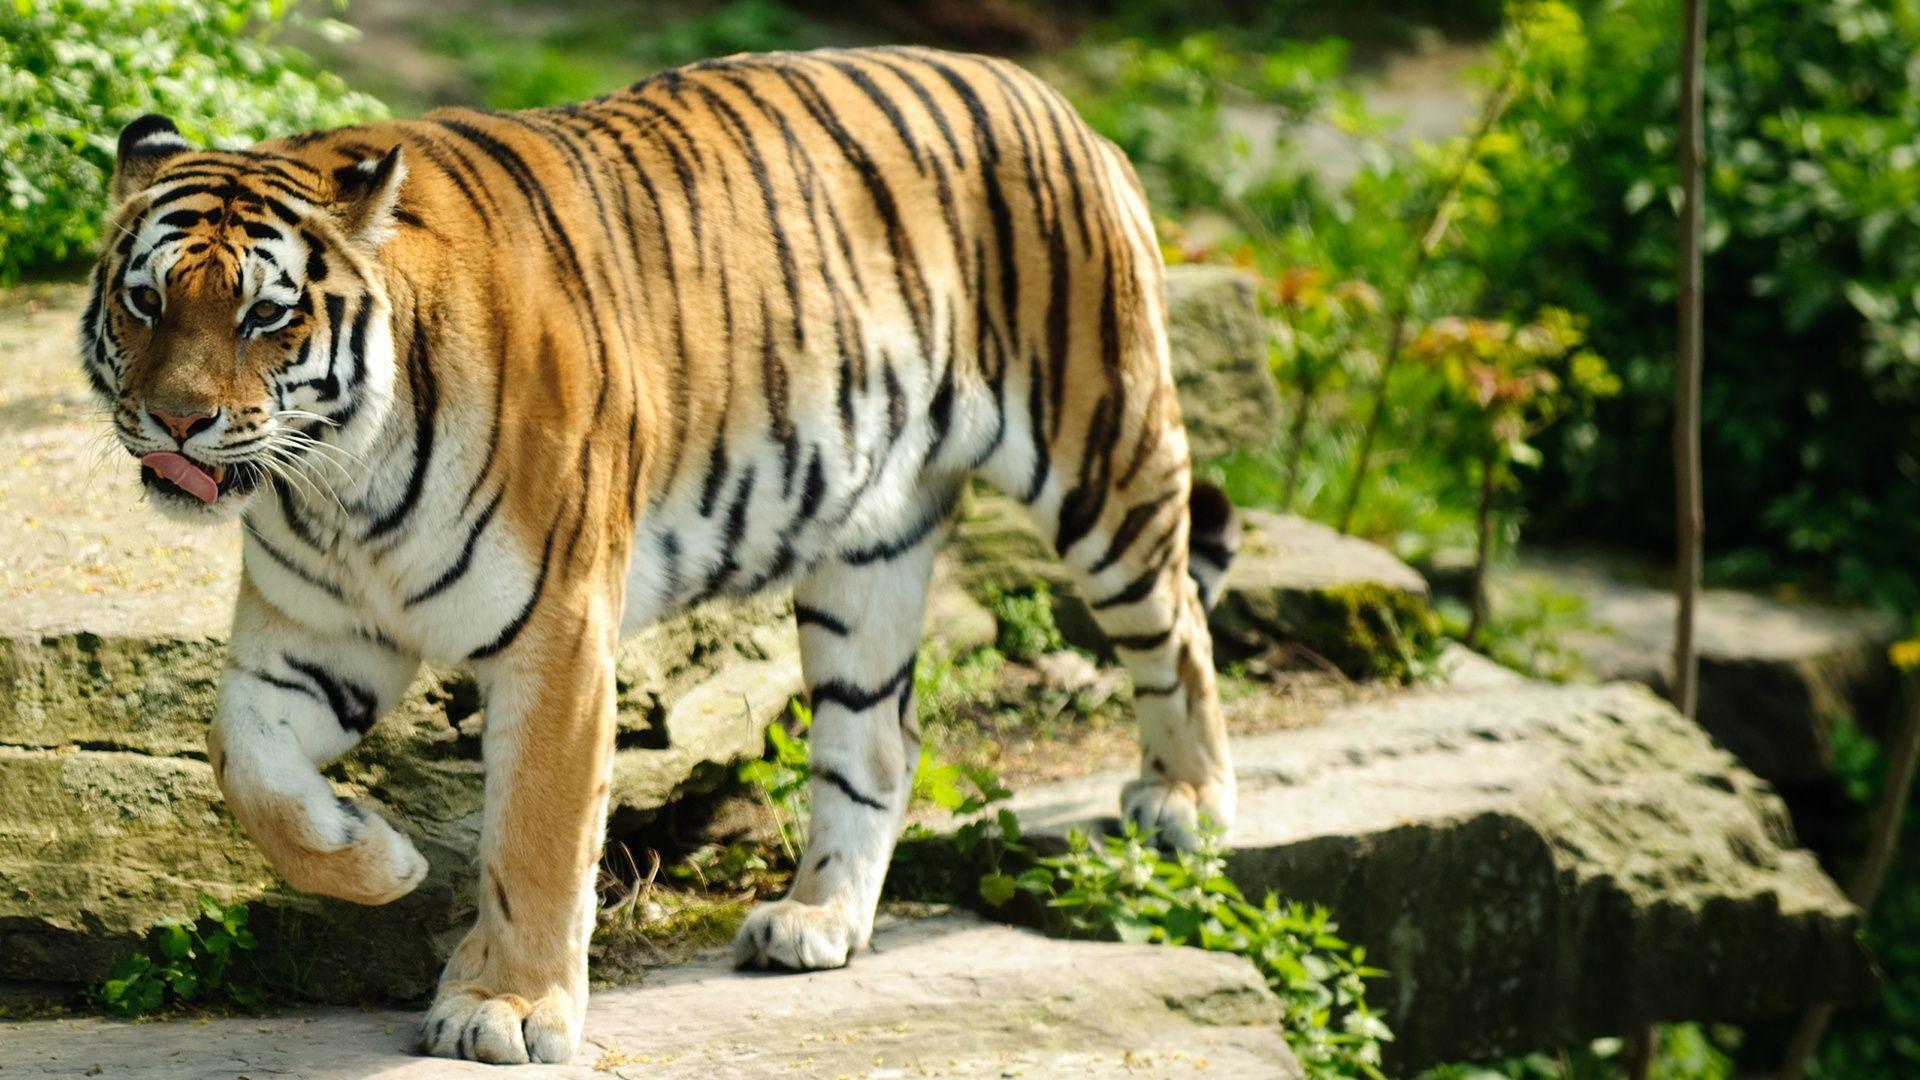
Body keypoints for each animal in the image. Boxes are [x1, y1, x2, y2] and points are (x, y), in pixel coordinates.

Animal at [80, 46, 1240, 1065]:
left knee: (1179, 628)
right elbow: (247, 767)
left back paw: (1188, 805)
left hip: (1103, 454)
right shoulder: (315, 637)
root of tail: (1062, 105)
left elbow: (538, 837)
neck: (334, 487)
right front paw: (379, 856)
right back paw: (816, 920)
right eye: (146, 301)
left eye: (265, 315)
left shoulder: (559, 637)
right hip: (868, 547)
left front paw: (507, 1008)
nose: (174, 422)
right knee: (879, 739)